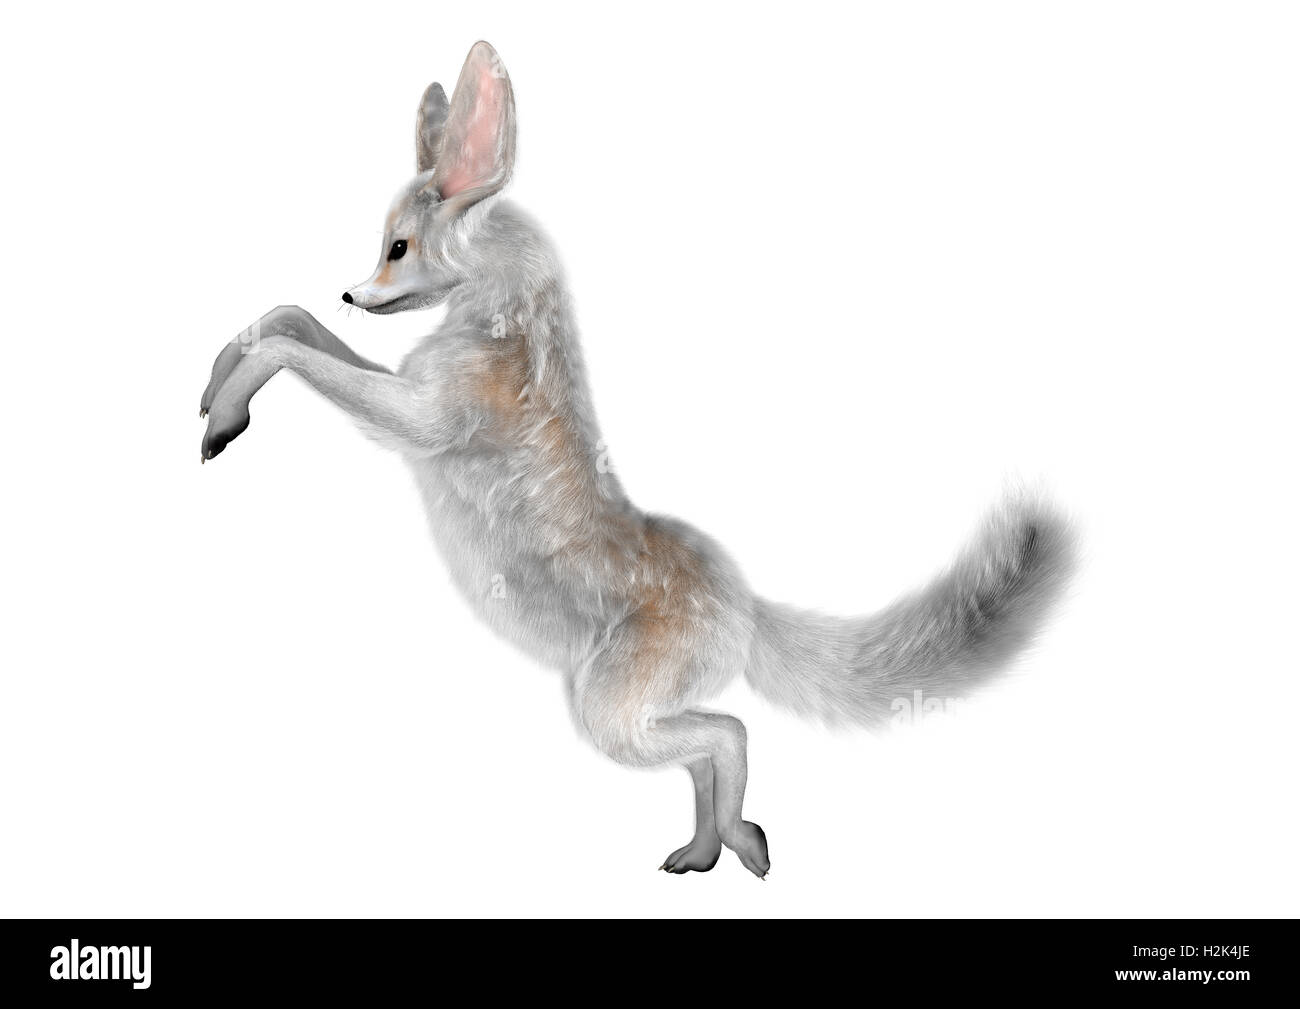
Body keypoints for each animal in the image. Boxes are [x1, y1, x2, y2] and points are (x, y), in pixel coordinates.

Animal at [200, 41, 1076, 877]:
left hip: (606, 715)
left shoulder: (419, 420)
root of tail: (745, 602)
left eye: (397, 247)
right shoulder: (399, 387)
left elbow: (288, 348)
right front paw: (217, 384)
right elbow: (286, 320)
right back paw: (705, 850)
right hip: (628, 714)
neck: (500, 322)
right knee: (707, 754)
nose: (353, 292)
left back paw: (740, 839)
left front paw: (228, 407)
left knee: (730, 733)